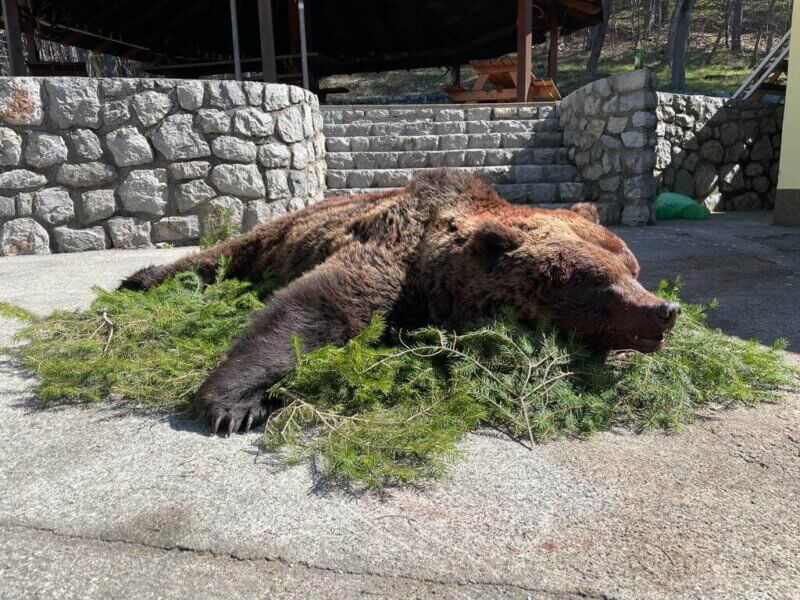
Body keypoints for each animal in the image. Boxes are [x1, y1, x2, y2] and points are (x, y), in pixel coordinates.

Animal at [121, 170, 679, 435]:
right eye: (602, 282)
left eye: (633, 270)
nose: (665, 310)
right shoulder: (392, 253)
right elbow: (318, 309)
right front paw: (235, 405)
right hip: (275, 238)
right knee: (217, 258)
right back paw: (140, 280)